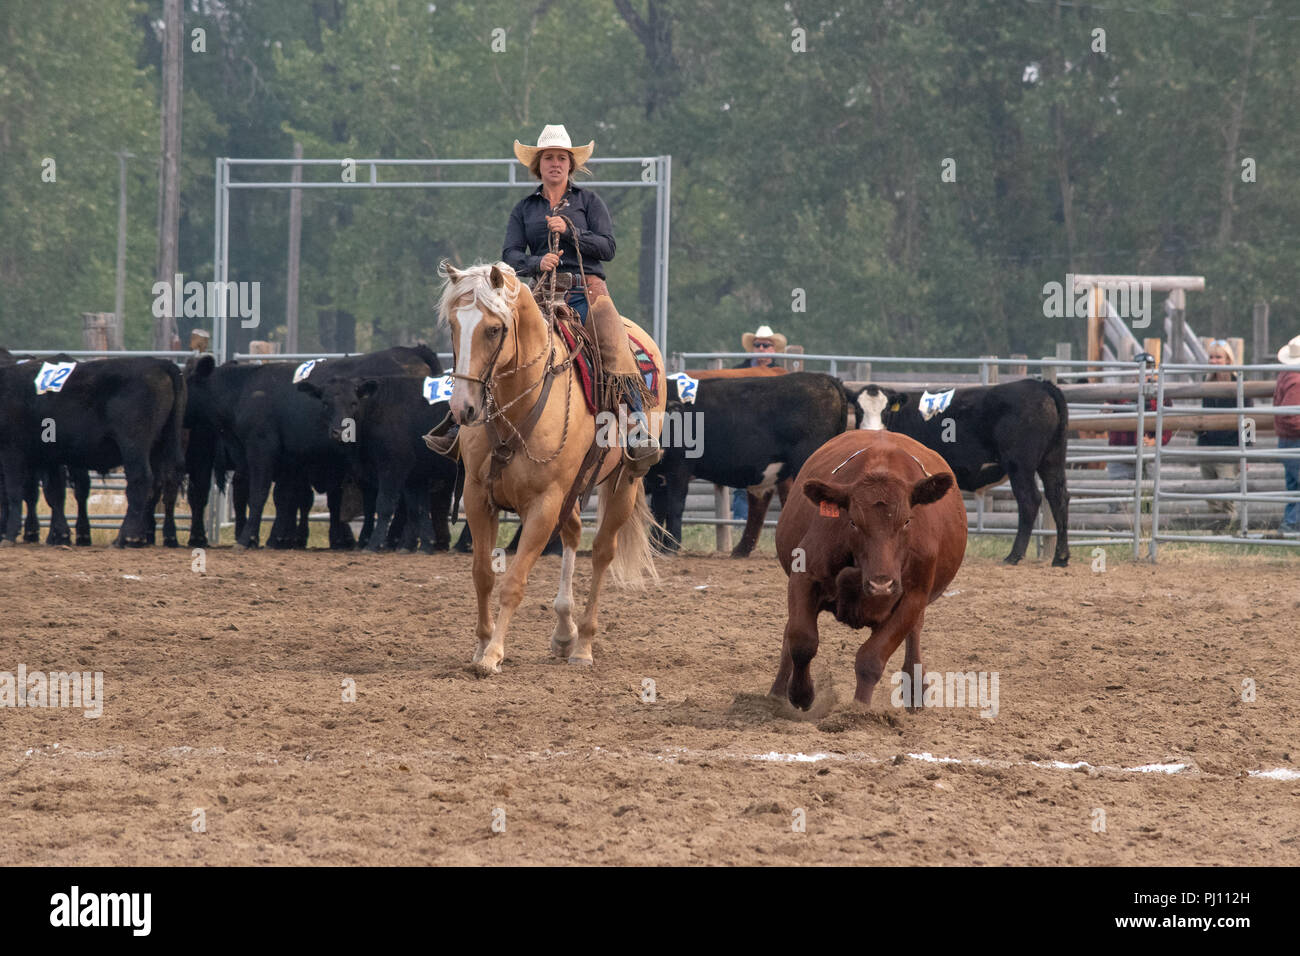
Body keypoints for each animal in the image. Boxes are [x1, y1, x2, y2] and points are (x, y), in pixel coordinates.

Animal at [0, 357, 186, 547]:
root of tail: (160, 362)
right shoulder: (49, 456)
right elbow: (54, 493)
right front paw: (60, 535)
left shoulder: (11, 450)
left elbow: (14, 491)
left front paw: (10, 534)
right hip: (160, 445)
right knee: (159, 485)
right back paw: (140, 537)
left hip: (134, 444)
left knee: (140, 480)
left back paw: (126, 537)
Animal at [296, 375, 456, 552]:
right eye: (325, 403)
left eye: (354, 403)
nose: (340, 431)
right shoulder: (415, 474)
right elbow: (418, 508)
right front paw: (425, 545)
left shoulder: (393, 466)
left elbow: (384, 505)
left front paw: (374, 544)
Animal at [646, 371, 848, 557]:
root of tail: (826, 379)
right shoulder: (659, 476)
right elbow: (657, 512)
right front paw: (655, 548)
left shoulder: (678, 469)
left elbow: (674, 507)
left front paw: (670, 548)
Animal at [769, 430, 966, 711]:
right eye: (853, 522)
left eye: (907, 521)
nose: (880, 584)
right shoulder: (803, 577)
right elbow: (801, 641)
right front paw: (800, 694)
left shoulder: (913, 598)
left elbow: (871, 659)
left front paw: (859, 710)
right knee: (790, 631)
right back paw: (776, 693)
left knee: (914, 633)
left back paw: (916, 691)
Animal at [850, 378, 1070, 566]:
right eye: (859, 409)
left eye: (886, 409)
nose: (871, 432)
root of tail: (1041, 385)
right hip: (1053, 459)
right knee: (1058, 498)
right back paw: (1060, 557)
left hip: (1020, 465)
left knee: (1029, 501)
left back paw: (1014, 556)